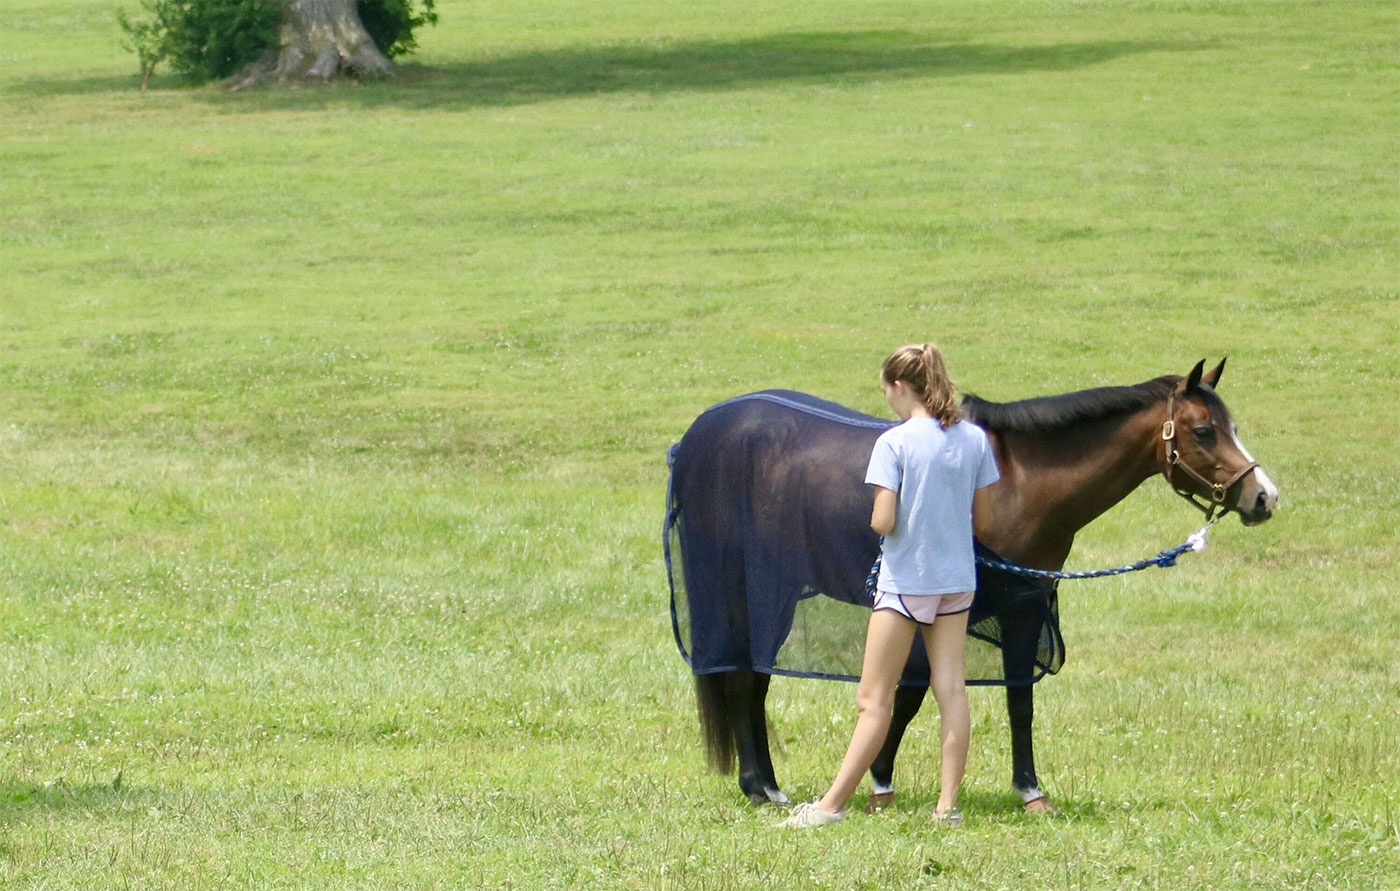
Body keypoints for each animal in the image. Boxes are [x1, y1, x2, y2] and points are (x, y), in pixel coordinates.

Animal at [663, 359, 1278, 812]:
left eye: (1232, 428)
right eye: (1203, 431)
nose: (1264, 498)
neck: (1014, 479)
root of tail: (697, 438)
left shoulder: (1019, 602)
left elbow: (977, 699)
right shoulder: (992, 607)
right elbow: (953, 697)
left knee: (752, 681)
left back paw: (764, 785)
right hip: (753, 595)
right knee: (744, 680)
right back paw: (762, 788)